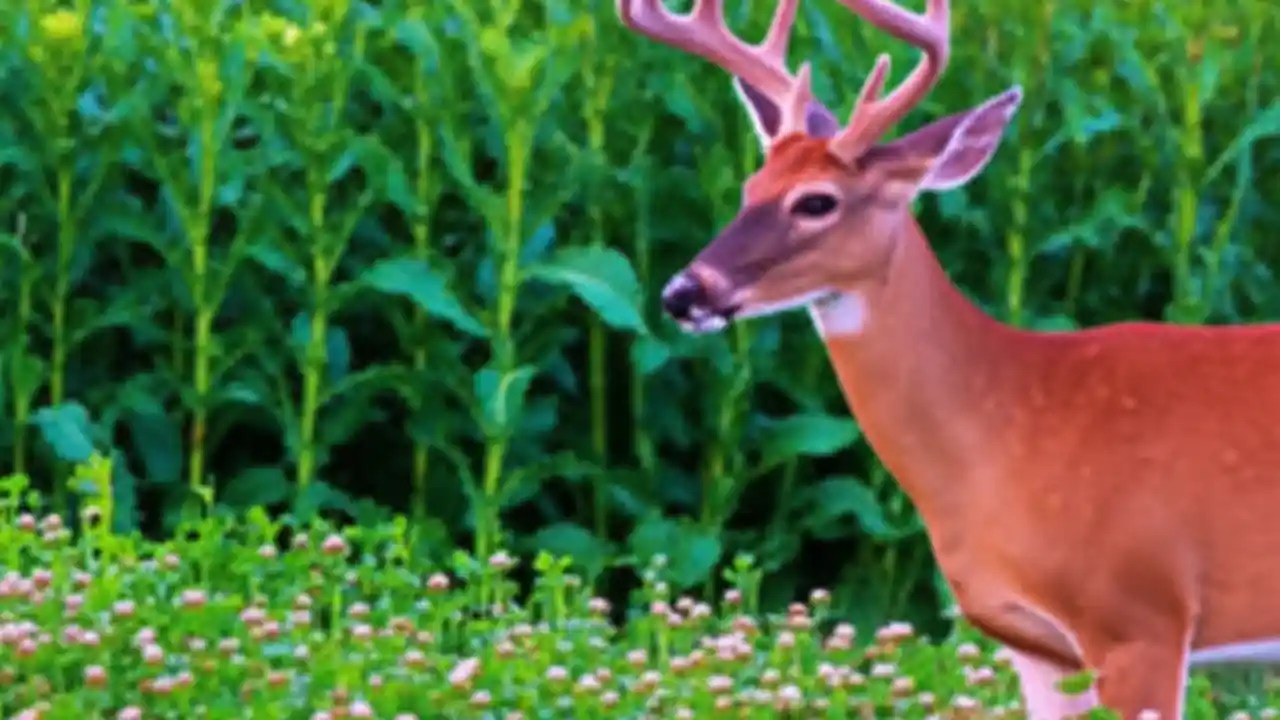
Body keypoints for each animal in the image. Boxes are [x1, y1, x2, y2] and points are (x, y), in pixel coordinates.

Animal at [616, 0, 1280, 717]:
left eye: (817, 200)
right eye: (748, 187)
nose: (683, 292)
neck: (1006, 429)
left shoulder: (1143, 614)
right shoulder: (1037, 644)